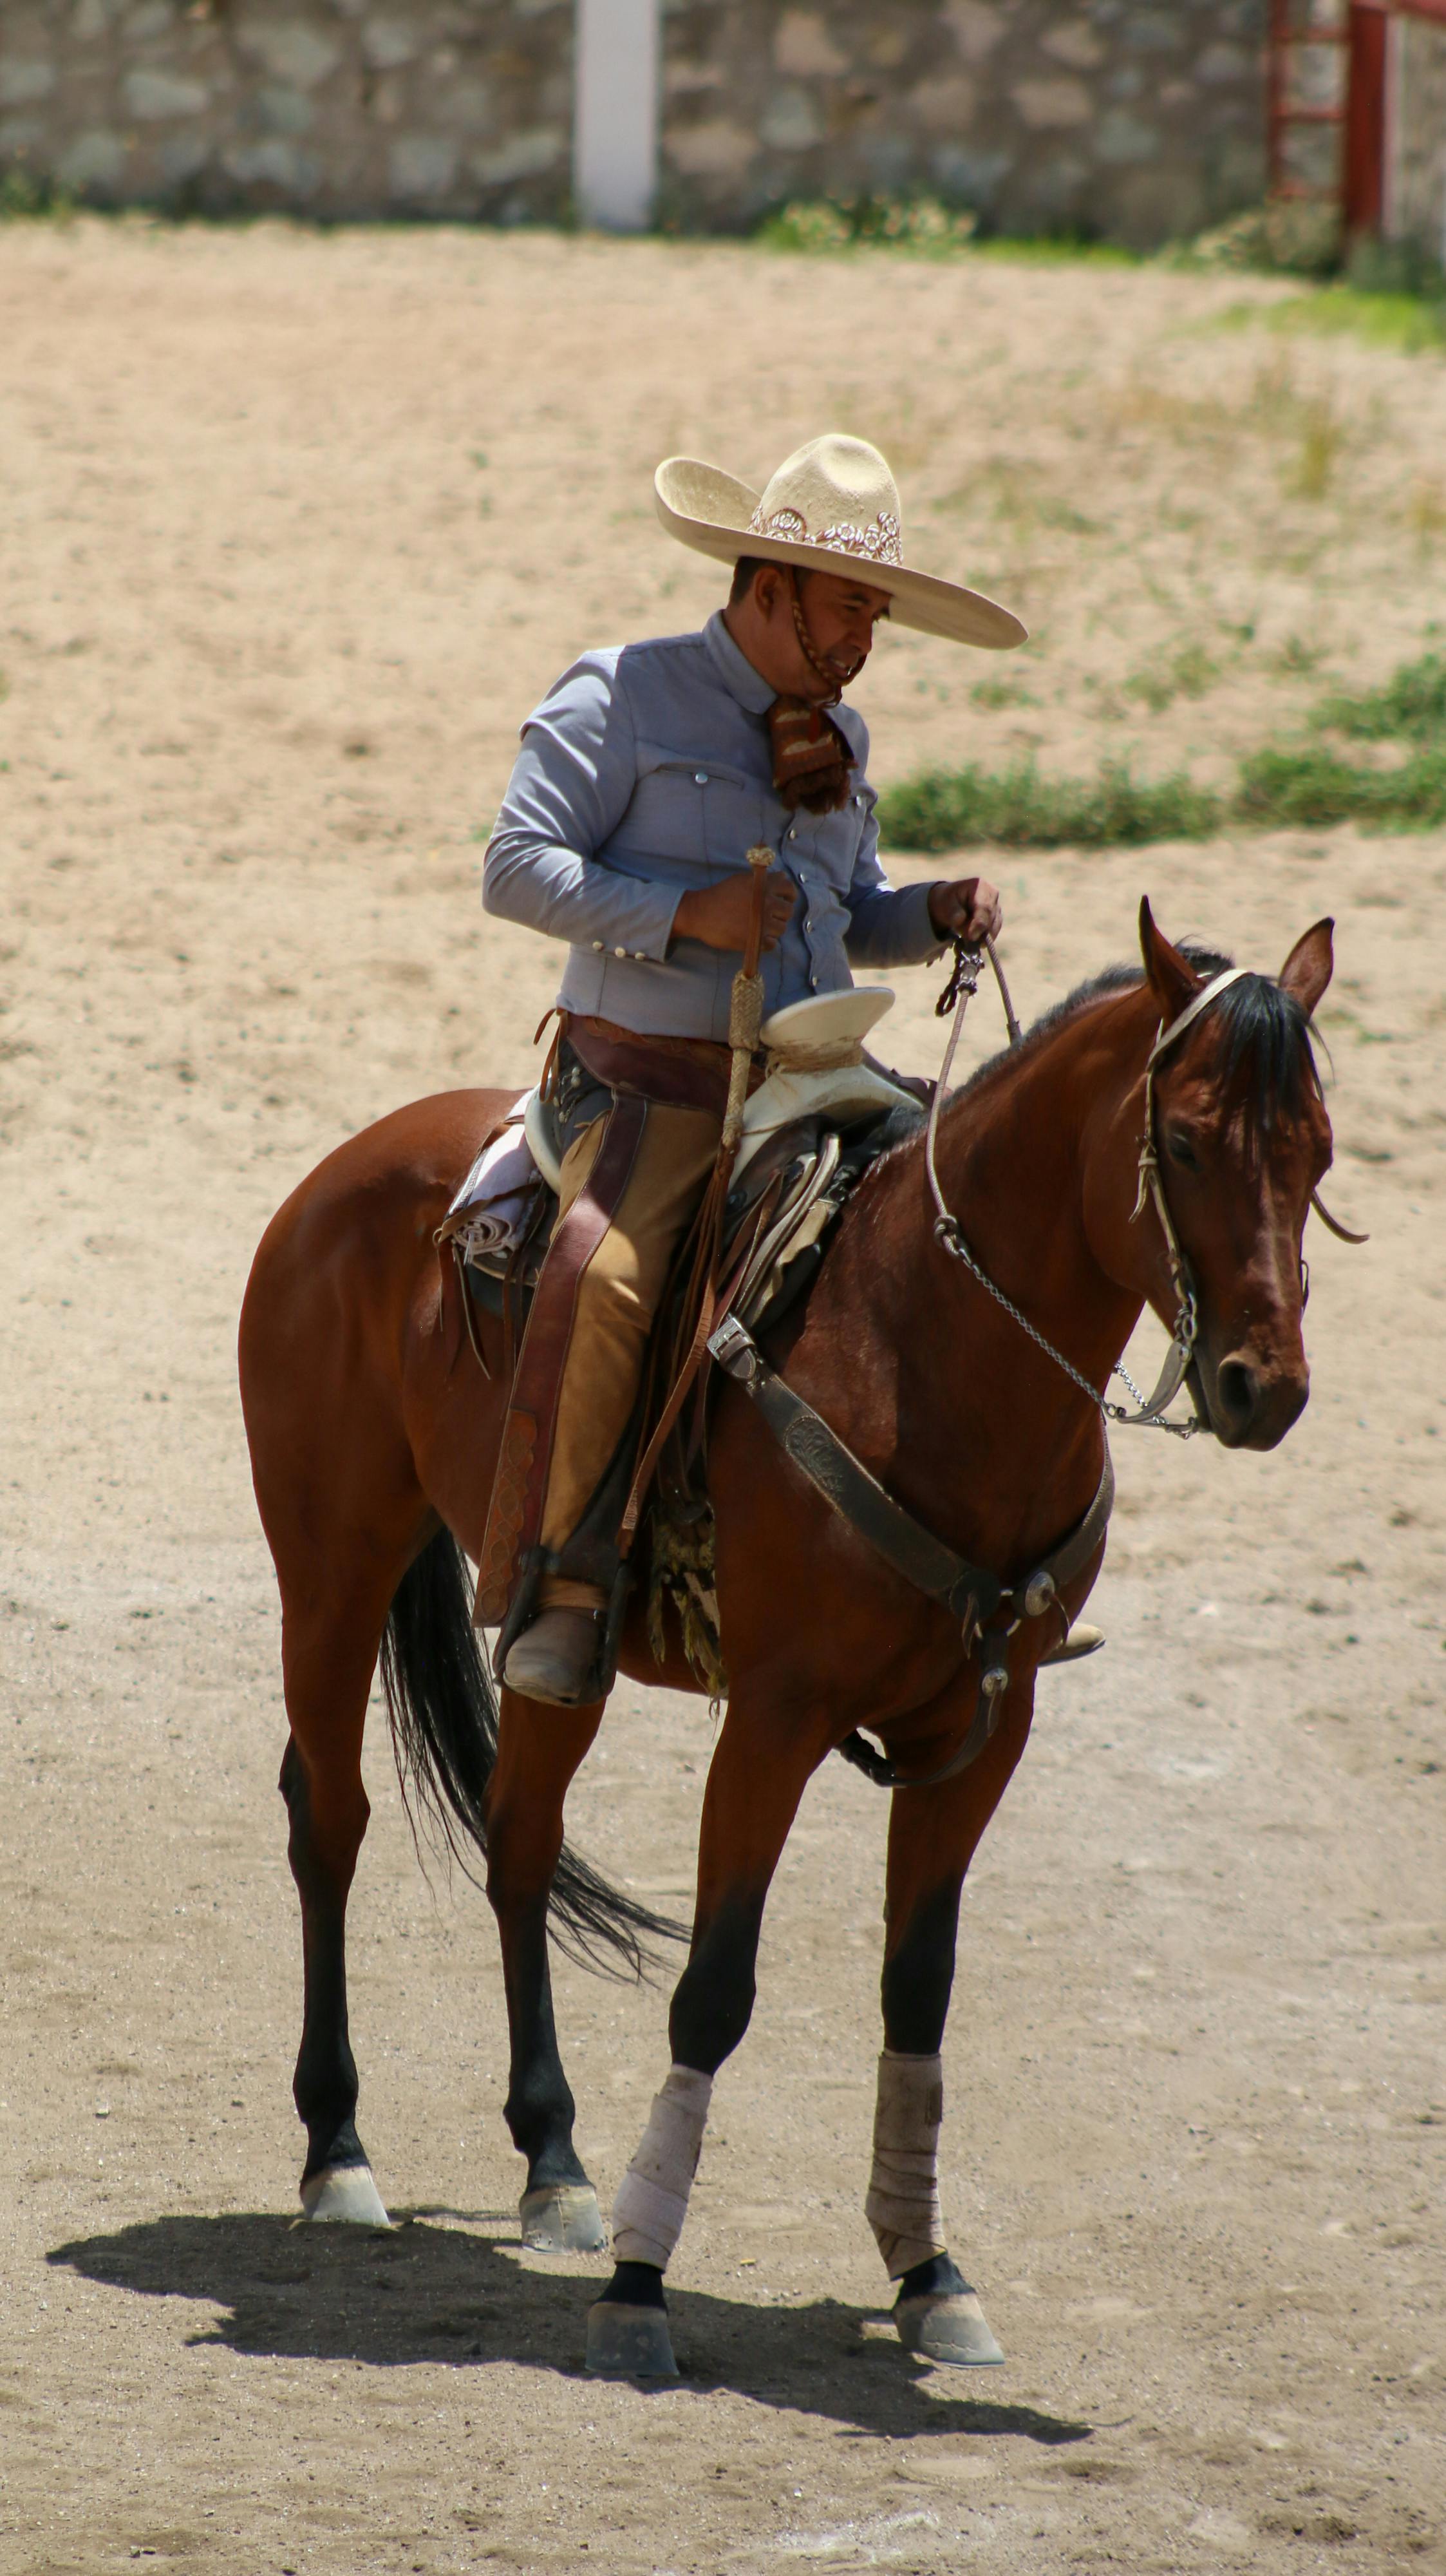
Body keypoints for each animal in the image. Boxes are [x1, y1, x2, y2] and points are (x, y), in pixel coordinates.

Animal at [237, 901, 1337, 2377]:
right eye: (1191, 1139)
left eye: (1316, 1149)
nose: (1261, 1387)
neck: (925, 1344)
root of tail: (344, 1171)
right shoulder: (774, 1717)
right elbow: (713, 1989)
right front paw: (642, 2288)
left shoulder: (978, 1730)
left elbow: (917, 1991)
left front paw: (929, 2271)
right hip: (332, 1561)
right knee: (331, 1817)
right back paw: (338, 2149)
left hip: (554, 1641)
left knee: (518, 1834)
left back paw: (555, 2163)